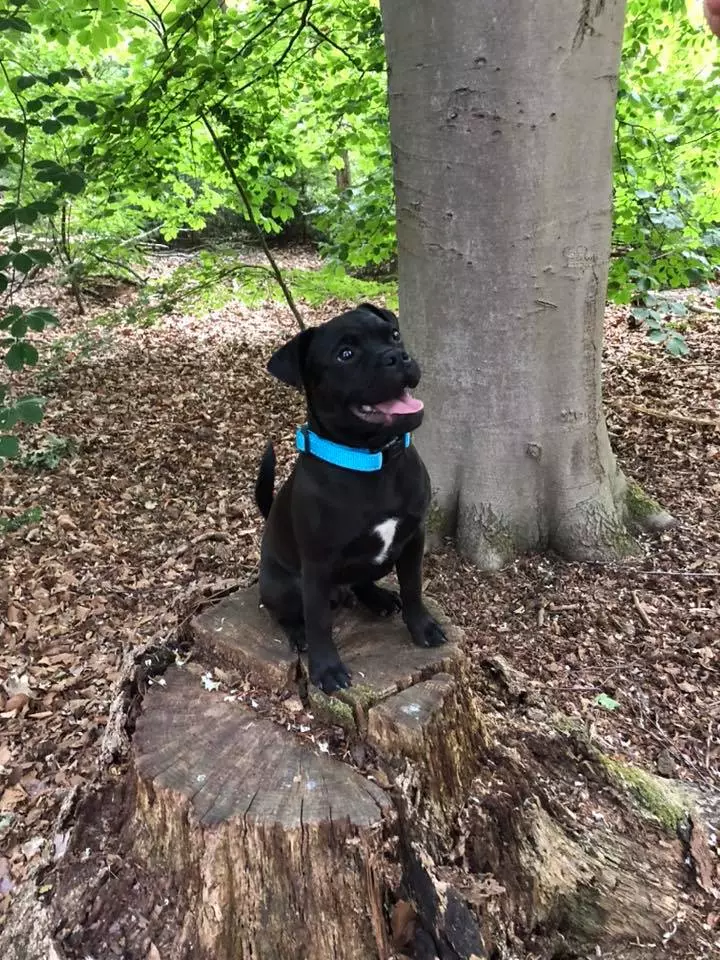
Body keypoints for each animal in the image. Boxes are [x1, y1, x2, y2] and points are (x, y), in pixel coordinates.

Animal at [253, 304, 444, 692]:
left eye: (394, 335)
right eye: (345, 354)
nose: (397, 357)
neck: (372, 460)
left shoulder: (413, 537)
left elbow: (413, 586)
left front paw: (422, 627)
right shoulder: (317, 565)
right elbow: (318, 621)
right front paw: (326, 669)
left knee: (362, 581)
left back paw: (378, 598)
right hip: (281, 585)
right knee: (288, 614)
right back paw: (299, 634)